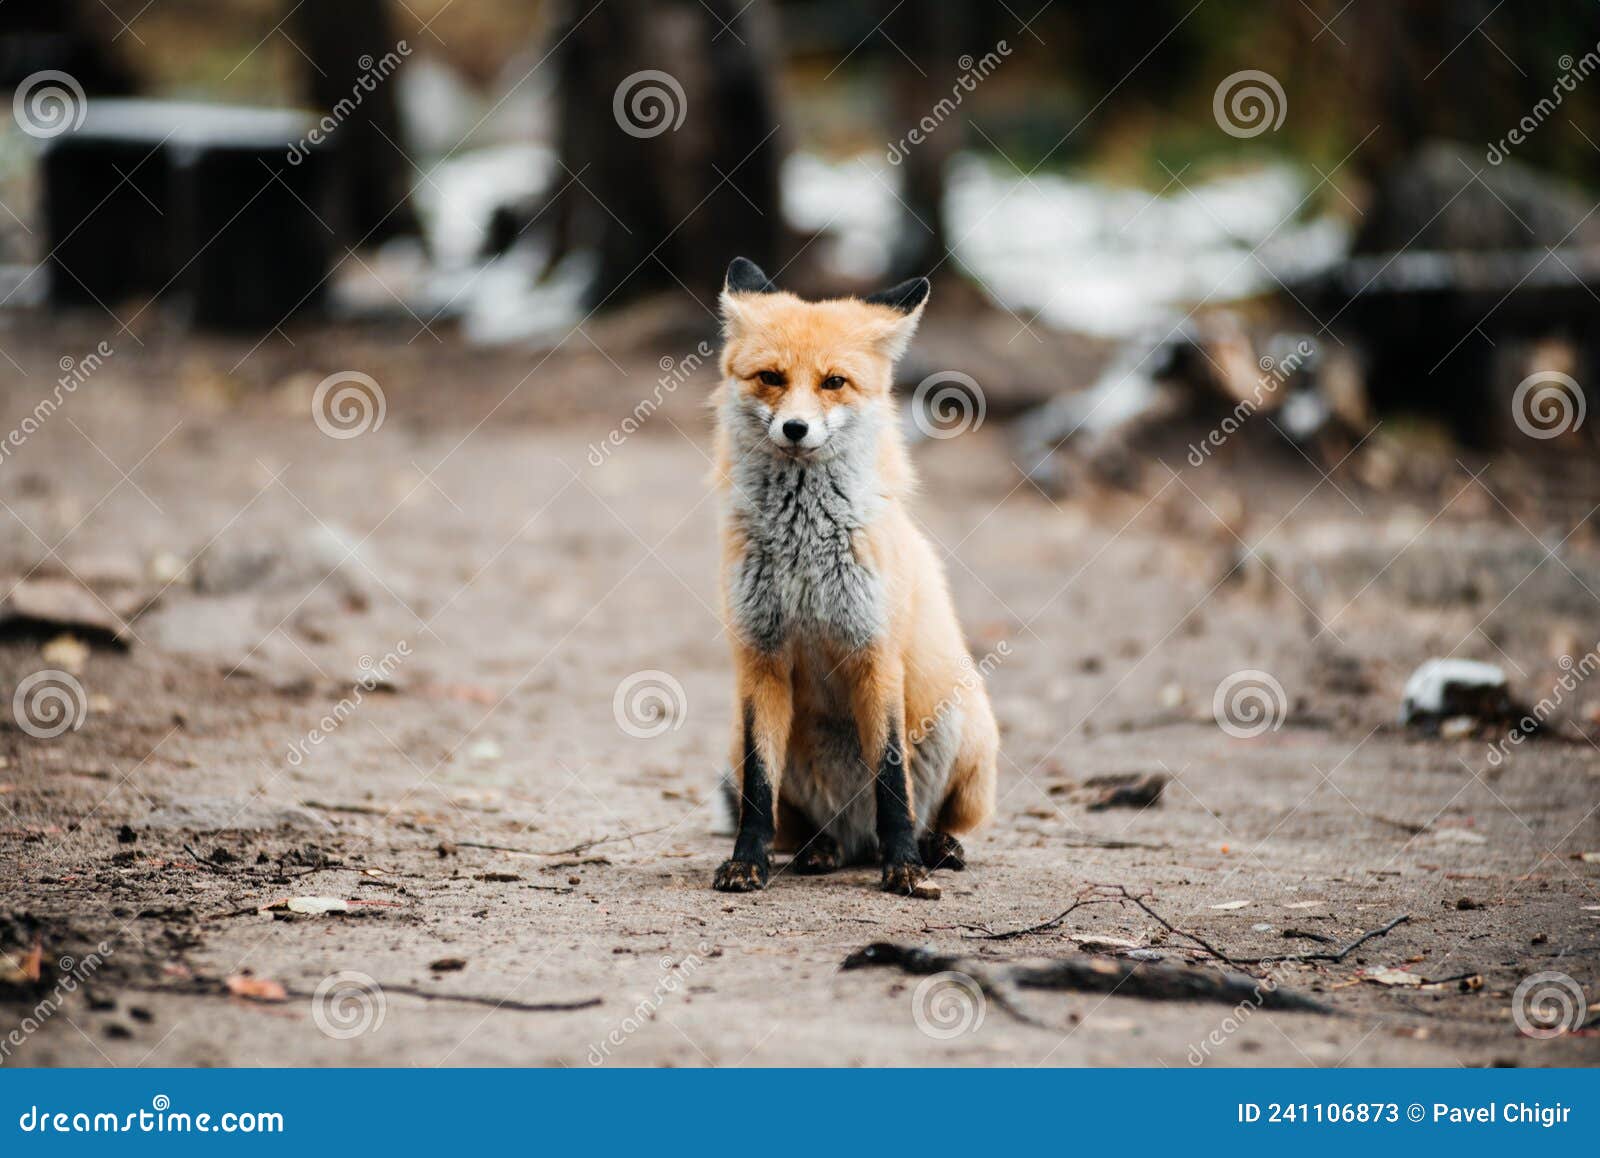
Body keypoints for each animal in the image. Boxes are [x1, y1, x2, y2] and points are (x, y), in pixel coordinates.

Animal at [709, 257, 999, 896]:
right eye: (771, 377)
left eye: (833, 382)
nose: (795, 428)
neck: (803, 550)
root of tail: (857, 837)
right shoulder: (758, 655)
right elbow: (758, 792)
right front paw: (746, 861)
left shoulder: (875, 650)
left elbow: (892, 781)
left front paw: (905, 868)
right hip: (739, 742)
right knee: (806, 825)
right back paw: (821, 850)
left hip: (961, 723)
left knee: (935, 816)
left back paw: (933, 847)